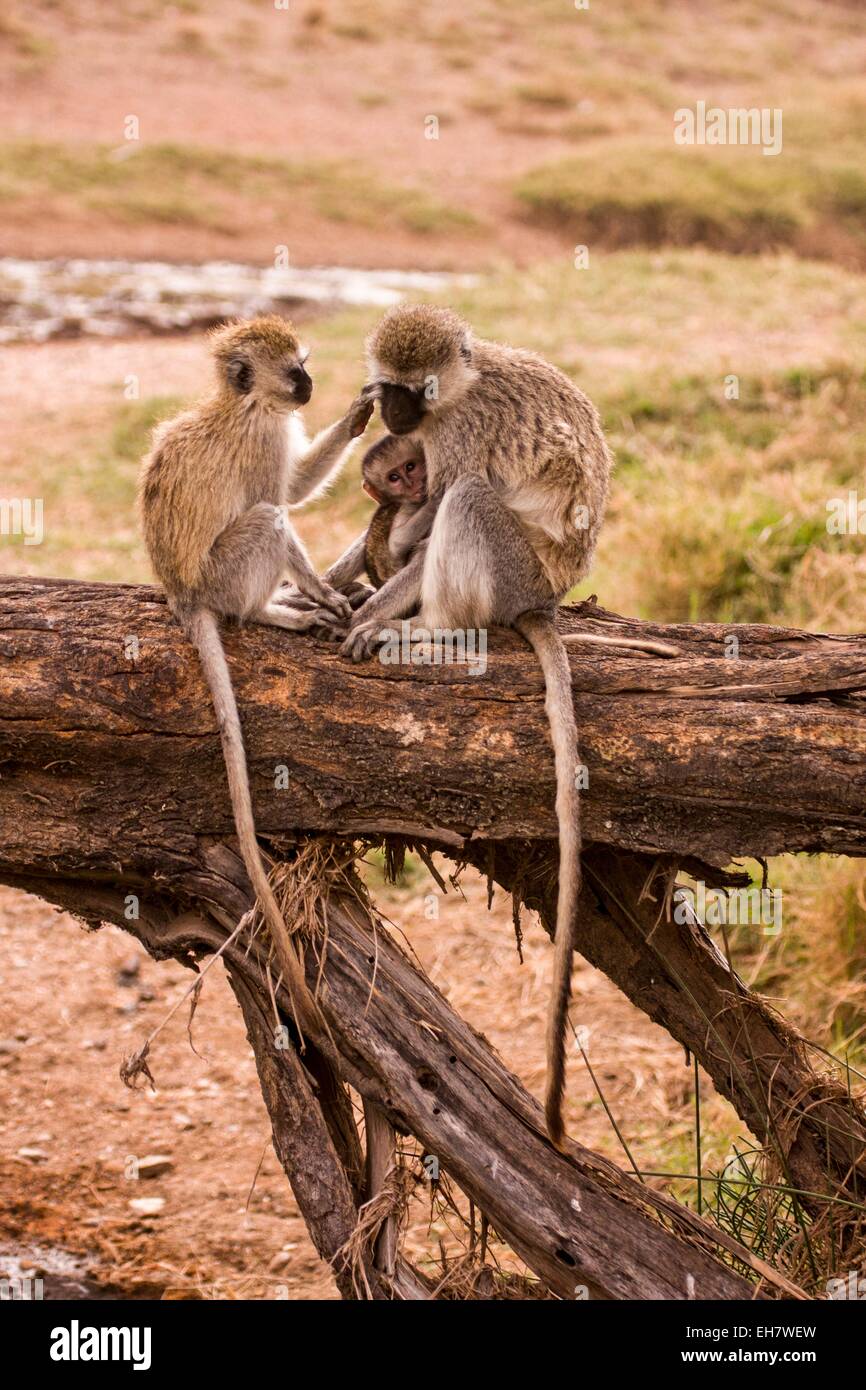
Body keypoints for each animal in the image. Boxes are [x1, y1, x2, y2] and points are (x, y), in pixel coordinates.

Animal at [138, 314, 373, 1040]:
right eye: (293, 370)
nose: (311, 386)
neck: (248, 404)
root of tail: (185, 594)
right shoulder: (264, 440)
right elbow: (282, 499)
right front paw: (321, 590)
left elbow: (295, 490)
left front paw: (359, 413)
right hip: (226, 574)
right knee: (267, 523)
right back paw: (278, 610)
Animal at [326, 304, 677, 1149]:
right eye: (386, 387)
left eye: (415, 390)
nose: (393, 415)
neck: (462, 385)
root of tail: (544, 598)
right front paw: (328, 579)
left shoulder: (454, 436)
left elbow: (440, 505)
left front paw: (373, 612)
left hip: (513, 570)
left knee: (468, 503)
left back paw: (431, 633)